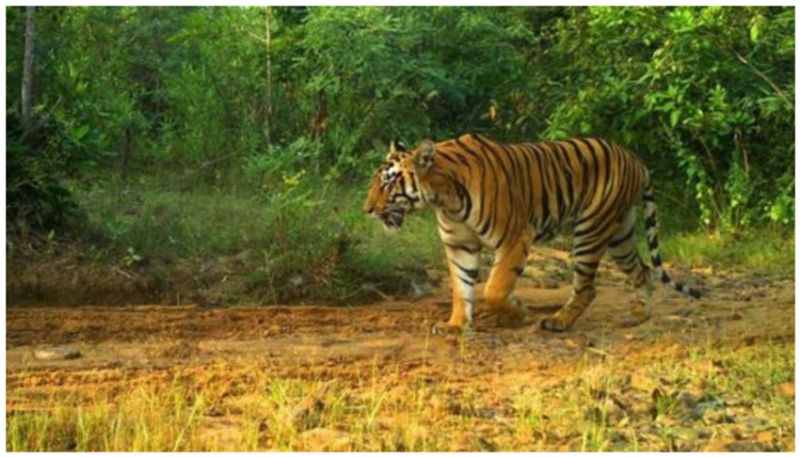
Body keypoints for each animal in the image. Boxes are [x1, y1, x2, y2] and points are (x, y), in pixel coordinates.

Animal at [364, 133, 700, 334]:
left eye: (387, 182)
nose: (366, 209)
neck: (445, 199)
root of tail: (635, 158)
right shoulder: (459, 244)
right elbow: (461, 288)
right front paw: (456, 325)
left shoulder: (516, 236)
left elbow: (495, 288)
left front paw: (519, 314)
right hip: (620, 233)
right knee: (642, 271)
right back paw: (640, 313)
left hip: (591, 229)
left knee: (587, 287)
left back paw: (557, 321)